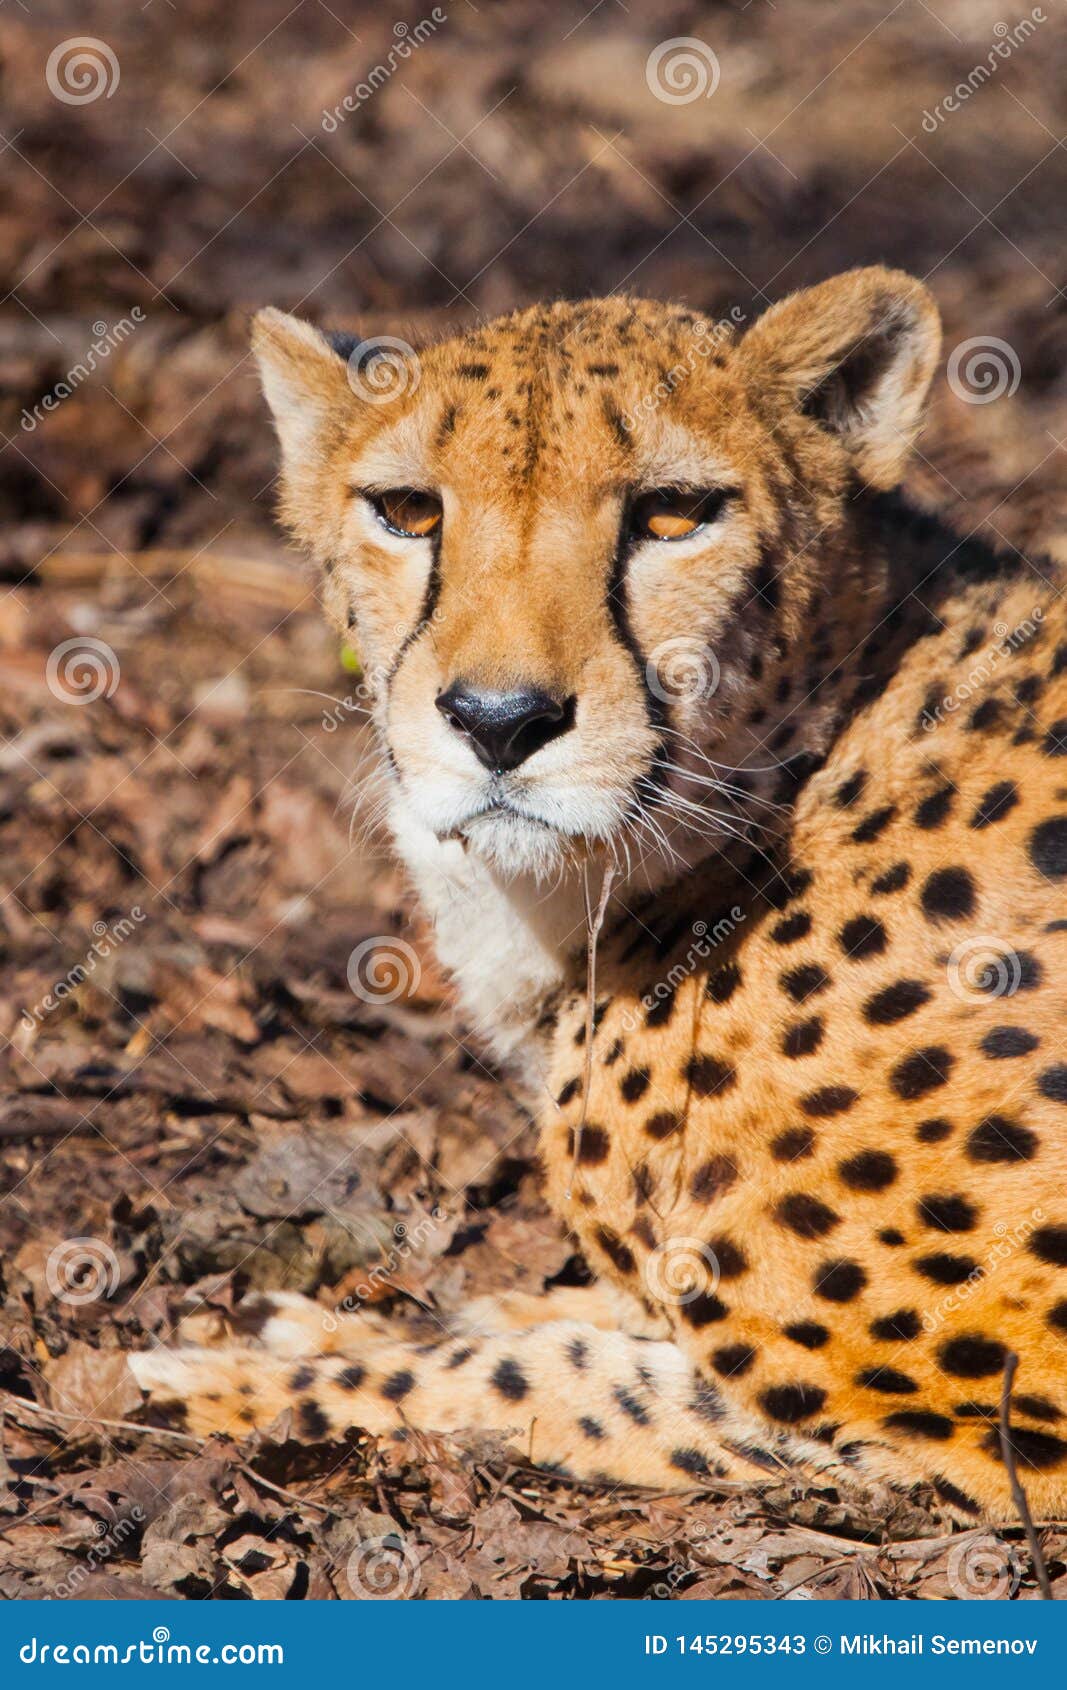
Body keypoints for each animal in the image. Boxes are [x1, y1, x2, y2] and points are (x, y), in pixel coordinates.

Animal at [131, 266, 1067, 1524]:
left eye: (673, 512)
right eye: (407, 511)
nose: (496, 719)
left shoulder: (984, 1423)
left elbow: (548, 1376)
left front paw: (222, 1379)